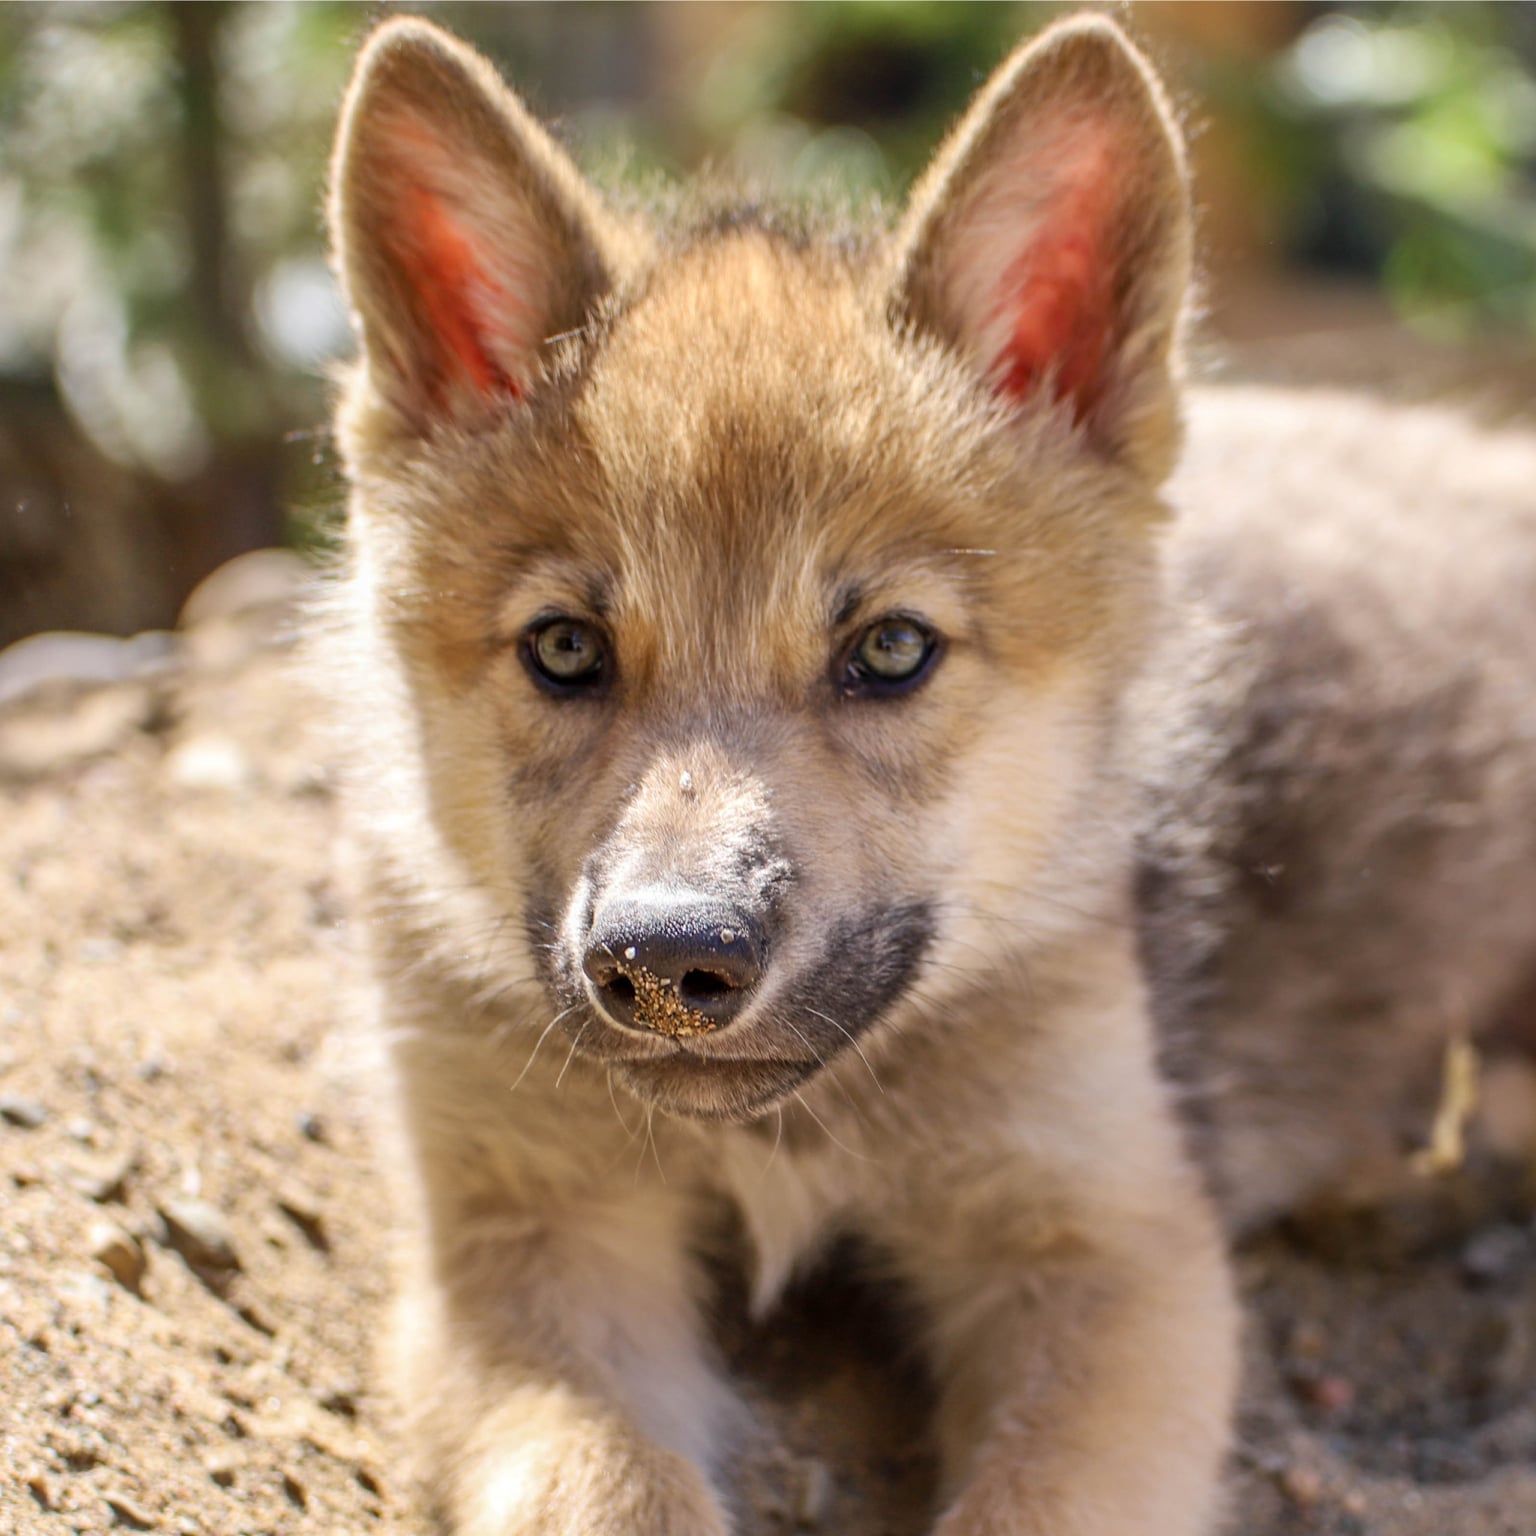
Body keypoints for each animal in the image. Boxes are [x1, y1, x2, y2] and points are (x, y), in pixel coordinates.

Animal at [323, 12, 1536, 1535]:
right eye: (563, 648)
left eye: (891, 649)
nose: (666, 964)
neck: (796, 1131)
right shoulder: (524, 1230)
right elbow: (608, 1482)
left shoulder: (1112, 1245)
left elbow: (1038, 1504)